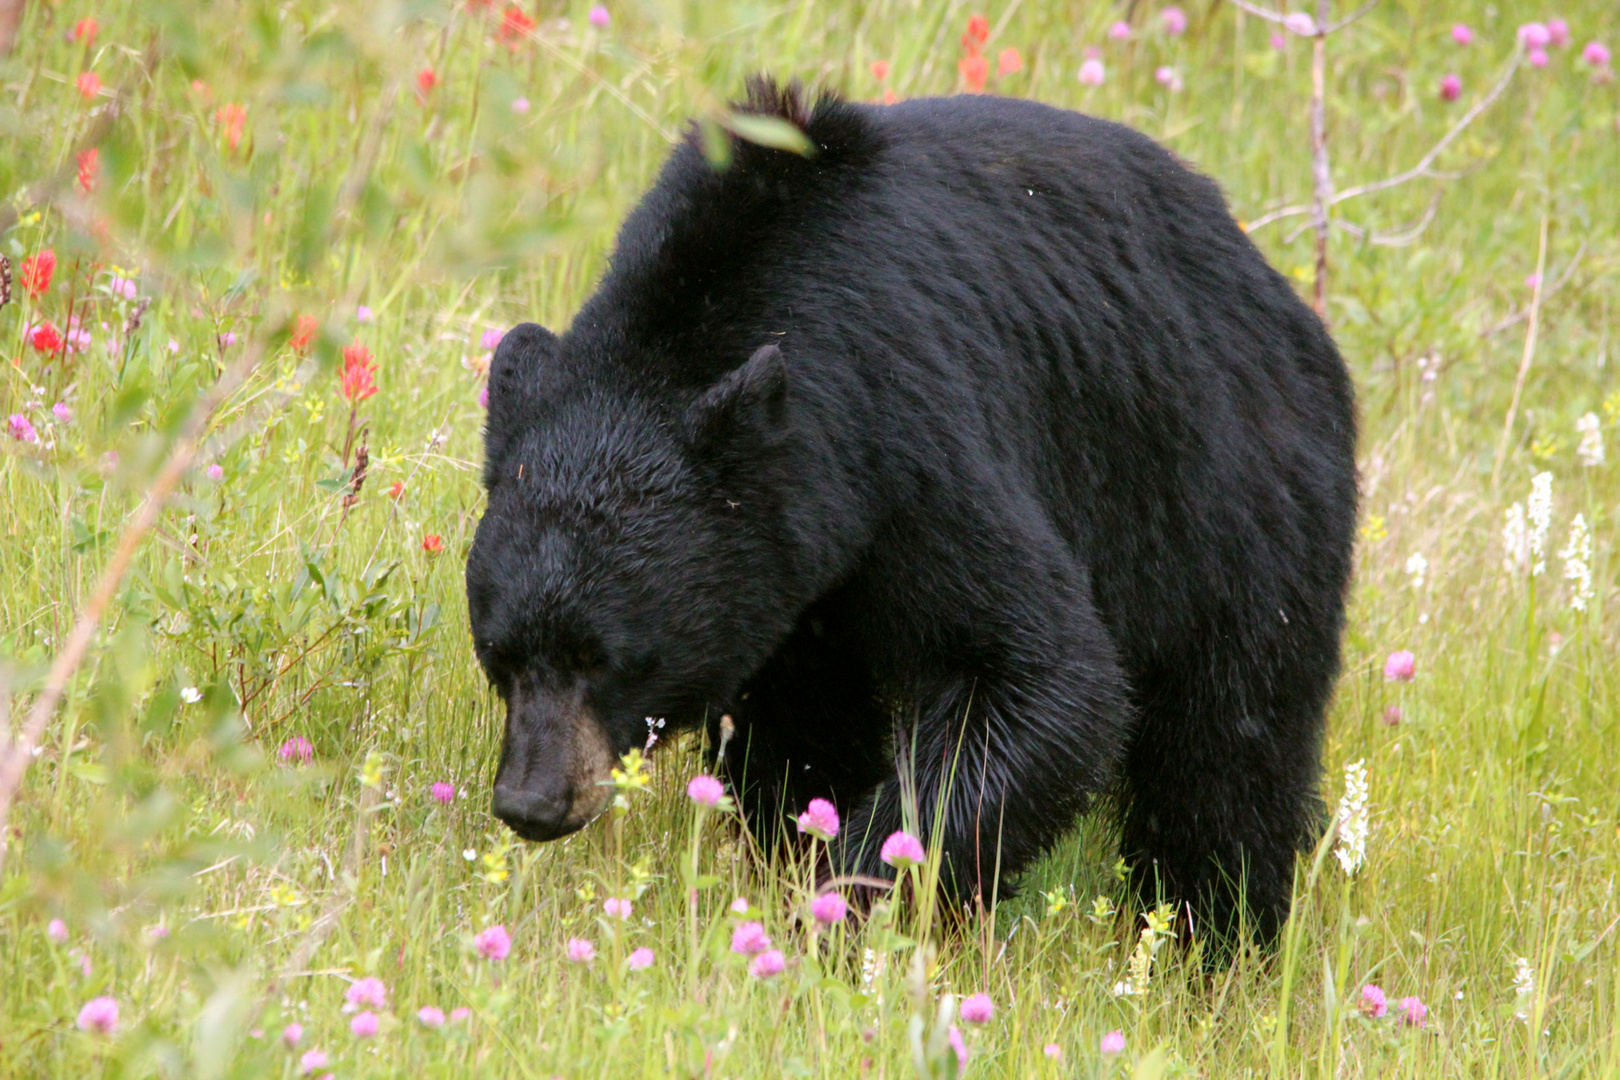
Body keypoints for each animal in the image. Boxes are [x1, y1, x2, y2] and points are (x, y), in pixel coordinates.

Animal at [465, 77, 1357, 945]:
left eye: (609, 658)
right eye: (500, 654)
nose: (532, 801)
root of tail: (1279, 292)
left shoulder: (911, 437)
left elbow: (1038, 674)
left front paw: (846, 902)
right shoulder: (786, 566)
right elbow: (803, 732)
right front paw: (805, 866)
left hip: (1228, 496)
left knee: (1229, 745)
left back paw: (1212, 938)